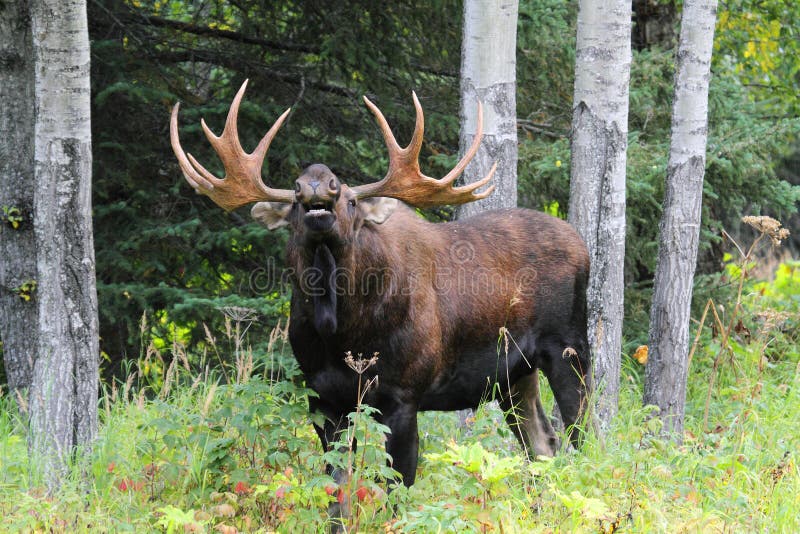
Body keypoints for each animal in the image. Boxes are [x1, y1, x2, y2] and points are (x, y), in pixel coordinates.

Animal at [170, 80, 591, 490]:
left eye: (353, 201)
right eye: (292, 204)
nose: (317, 182)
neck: (341, 332)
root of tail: (581, 243)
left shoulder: (402, 396)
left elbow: (395, 489)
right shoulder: (324, 401)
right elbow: (337, 490)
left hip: (568, 348)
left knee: (583, 435)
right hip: (515, 375)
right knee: (543, 444)